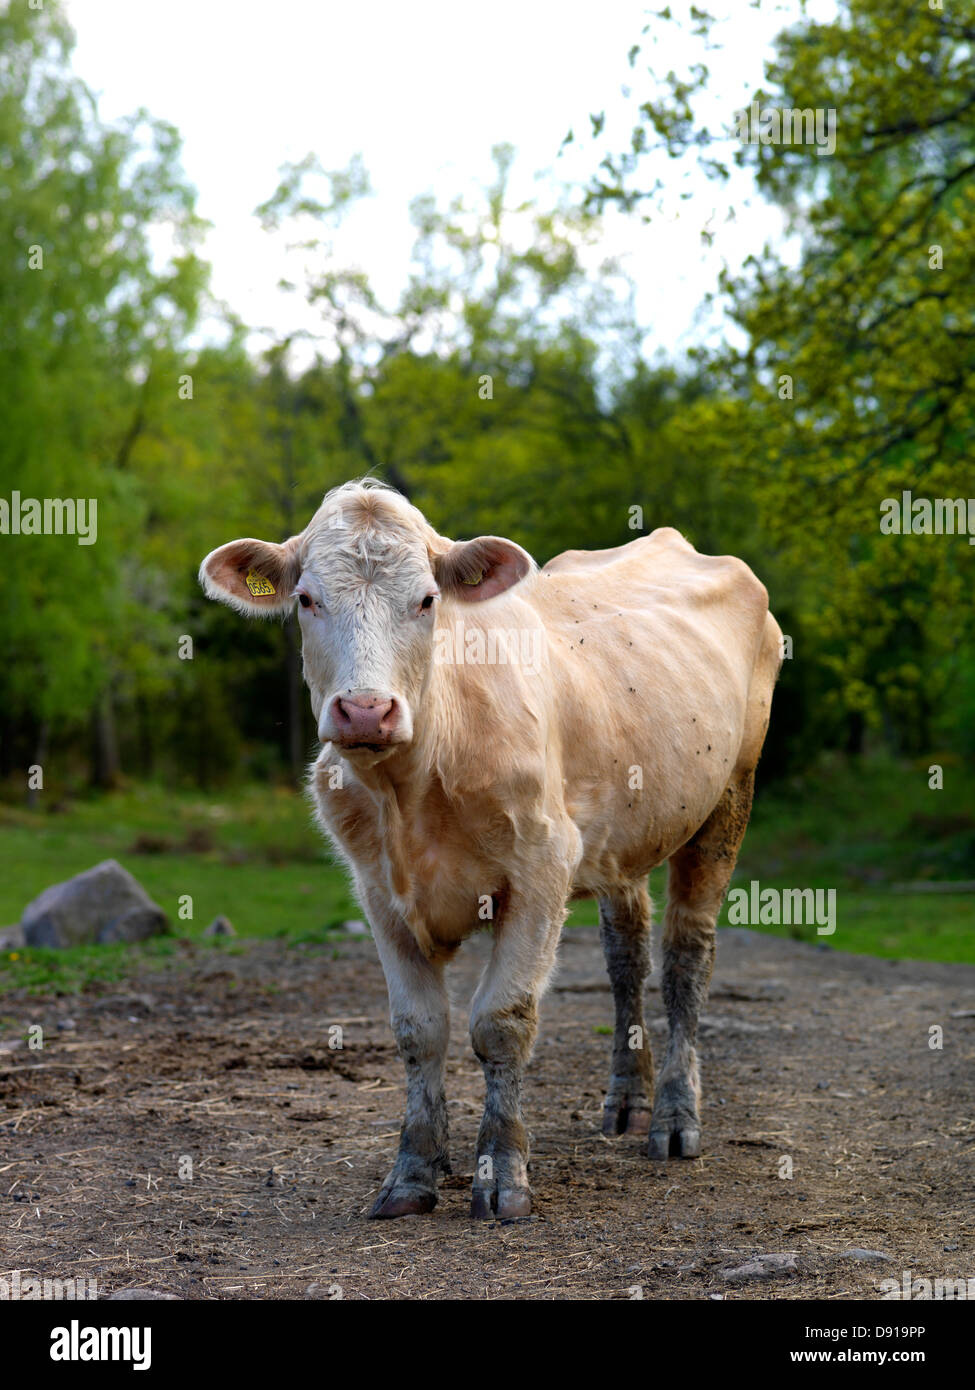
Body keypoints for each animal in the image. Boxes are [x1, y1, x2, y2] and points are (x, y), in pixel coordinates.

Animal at [200, 479, 782, 1220]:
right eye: (306, 599)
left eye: (427, 600)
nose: (365, 711)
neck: (413, 785)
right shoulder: (377, 890)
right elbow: (420, 1029)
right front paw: (412, 1172)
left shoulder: (540, 869)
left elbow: (501, 1022)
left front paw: (500, 1170)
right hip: (622, 832)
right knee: (626, 957)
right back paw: (626, 1099)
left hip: (728, 798)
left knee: (685, 960)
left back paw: (675, 1117)